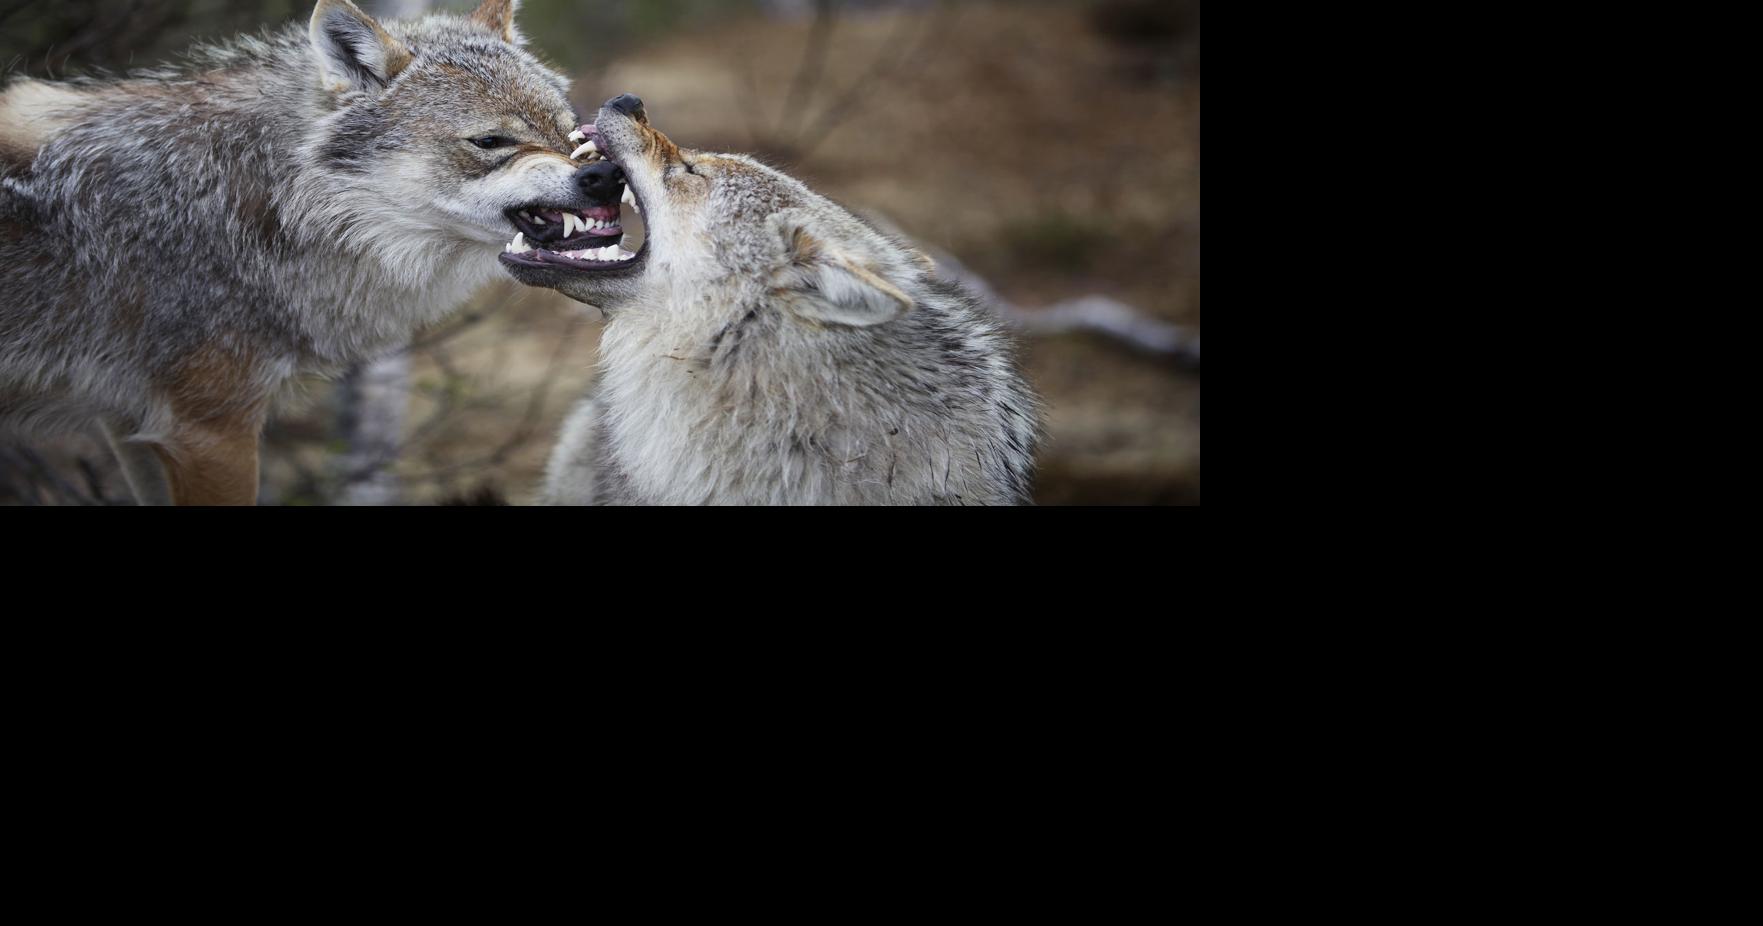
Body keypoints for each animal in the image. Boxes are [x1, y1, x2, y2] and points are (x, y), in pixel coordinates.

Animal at [0, 0, 622, 504]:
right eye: (492, 141)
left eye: (570, 131)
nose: (606, 175)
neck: (269, 201)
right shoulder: (208, 429)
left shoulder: (132, 423)